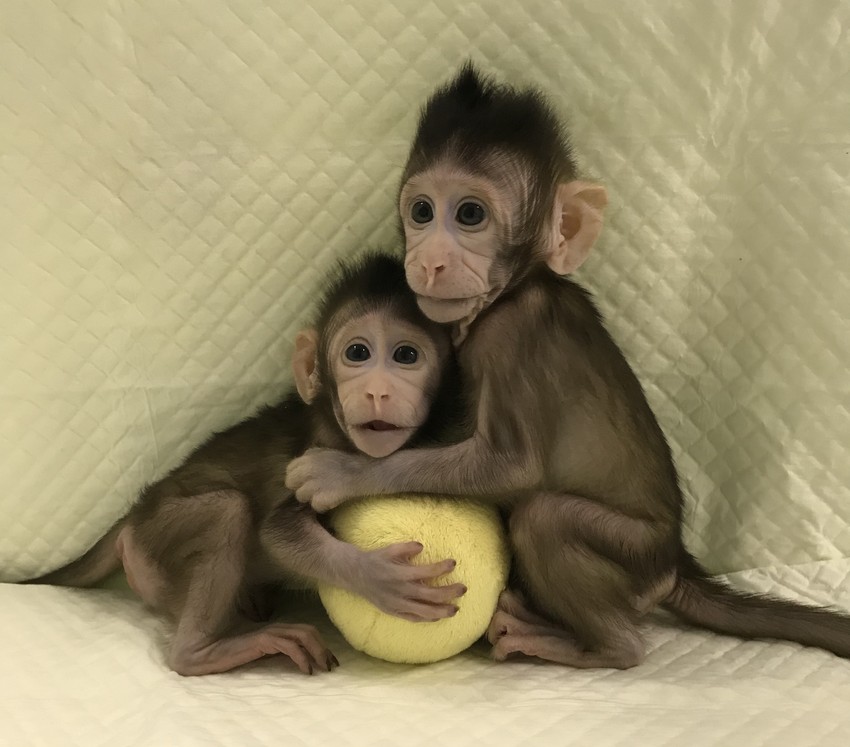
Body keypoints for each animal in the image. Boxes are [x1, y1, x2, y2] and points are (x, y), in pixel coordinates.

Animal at [28, 252, 468, 676]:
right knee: (228, 509)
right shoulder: (315, 452)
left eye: (406, 355)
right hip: (155, 537)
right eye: (357, 353)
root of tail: (134, 515)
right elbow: (278, 531)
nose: (377, 391)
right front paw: (378, 577)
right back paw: (202, 652)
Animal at [285, 64, 850, 668]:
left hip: (631, 554)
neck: (519, 286)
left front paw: (342, 473)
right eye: (421, 212)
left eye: (469, 214)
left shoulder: (511, 334)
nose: (430, 261)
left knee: (546, 520)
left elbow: (511, 467)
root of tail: (673, 563)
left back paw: (591, 644)